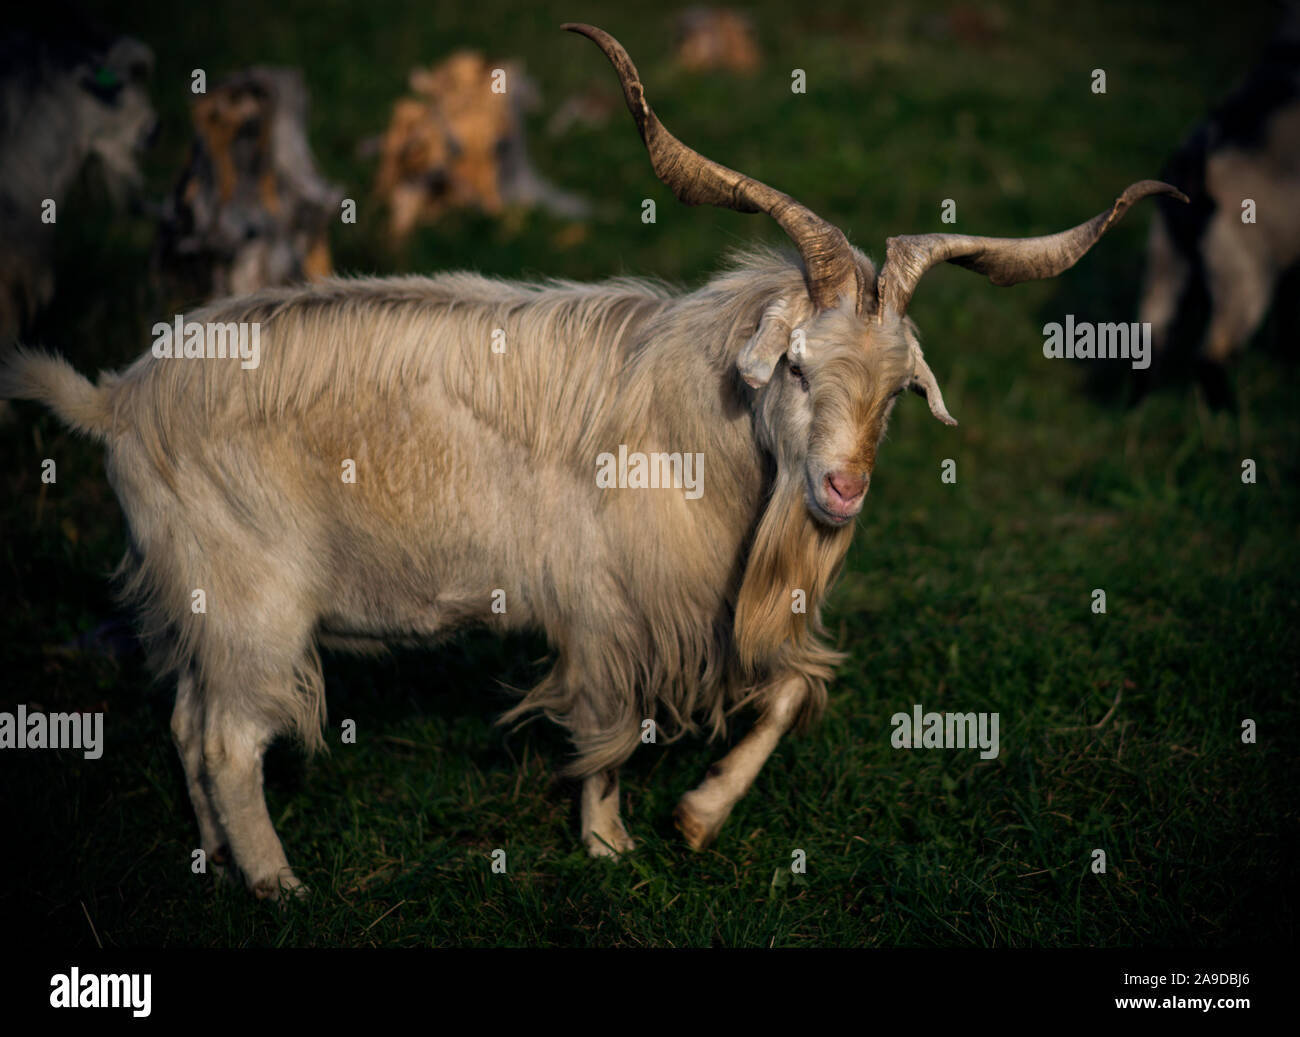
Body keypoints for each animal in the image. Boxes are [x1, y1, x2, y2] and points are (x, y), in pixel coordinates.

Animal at [0, 24, 1181, 899]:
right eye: (797, 364)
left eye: (898, 391)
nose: (842, 489)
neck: (694, 424)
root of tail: (118, 398)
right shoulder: (610, 608)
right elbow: (611, 736)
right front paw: (611, 847)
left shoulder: (720, 605)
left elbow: (788, 692)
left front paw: (696, 818)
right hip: (254, 599)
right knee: (233, 741)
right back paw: (280, 883)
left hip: (202, 598)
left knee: (190, 724)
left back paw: (218, 863)